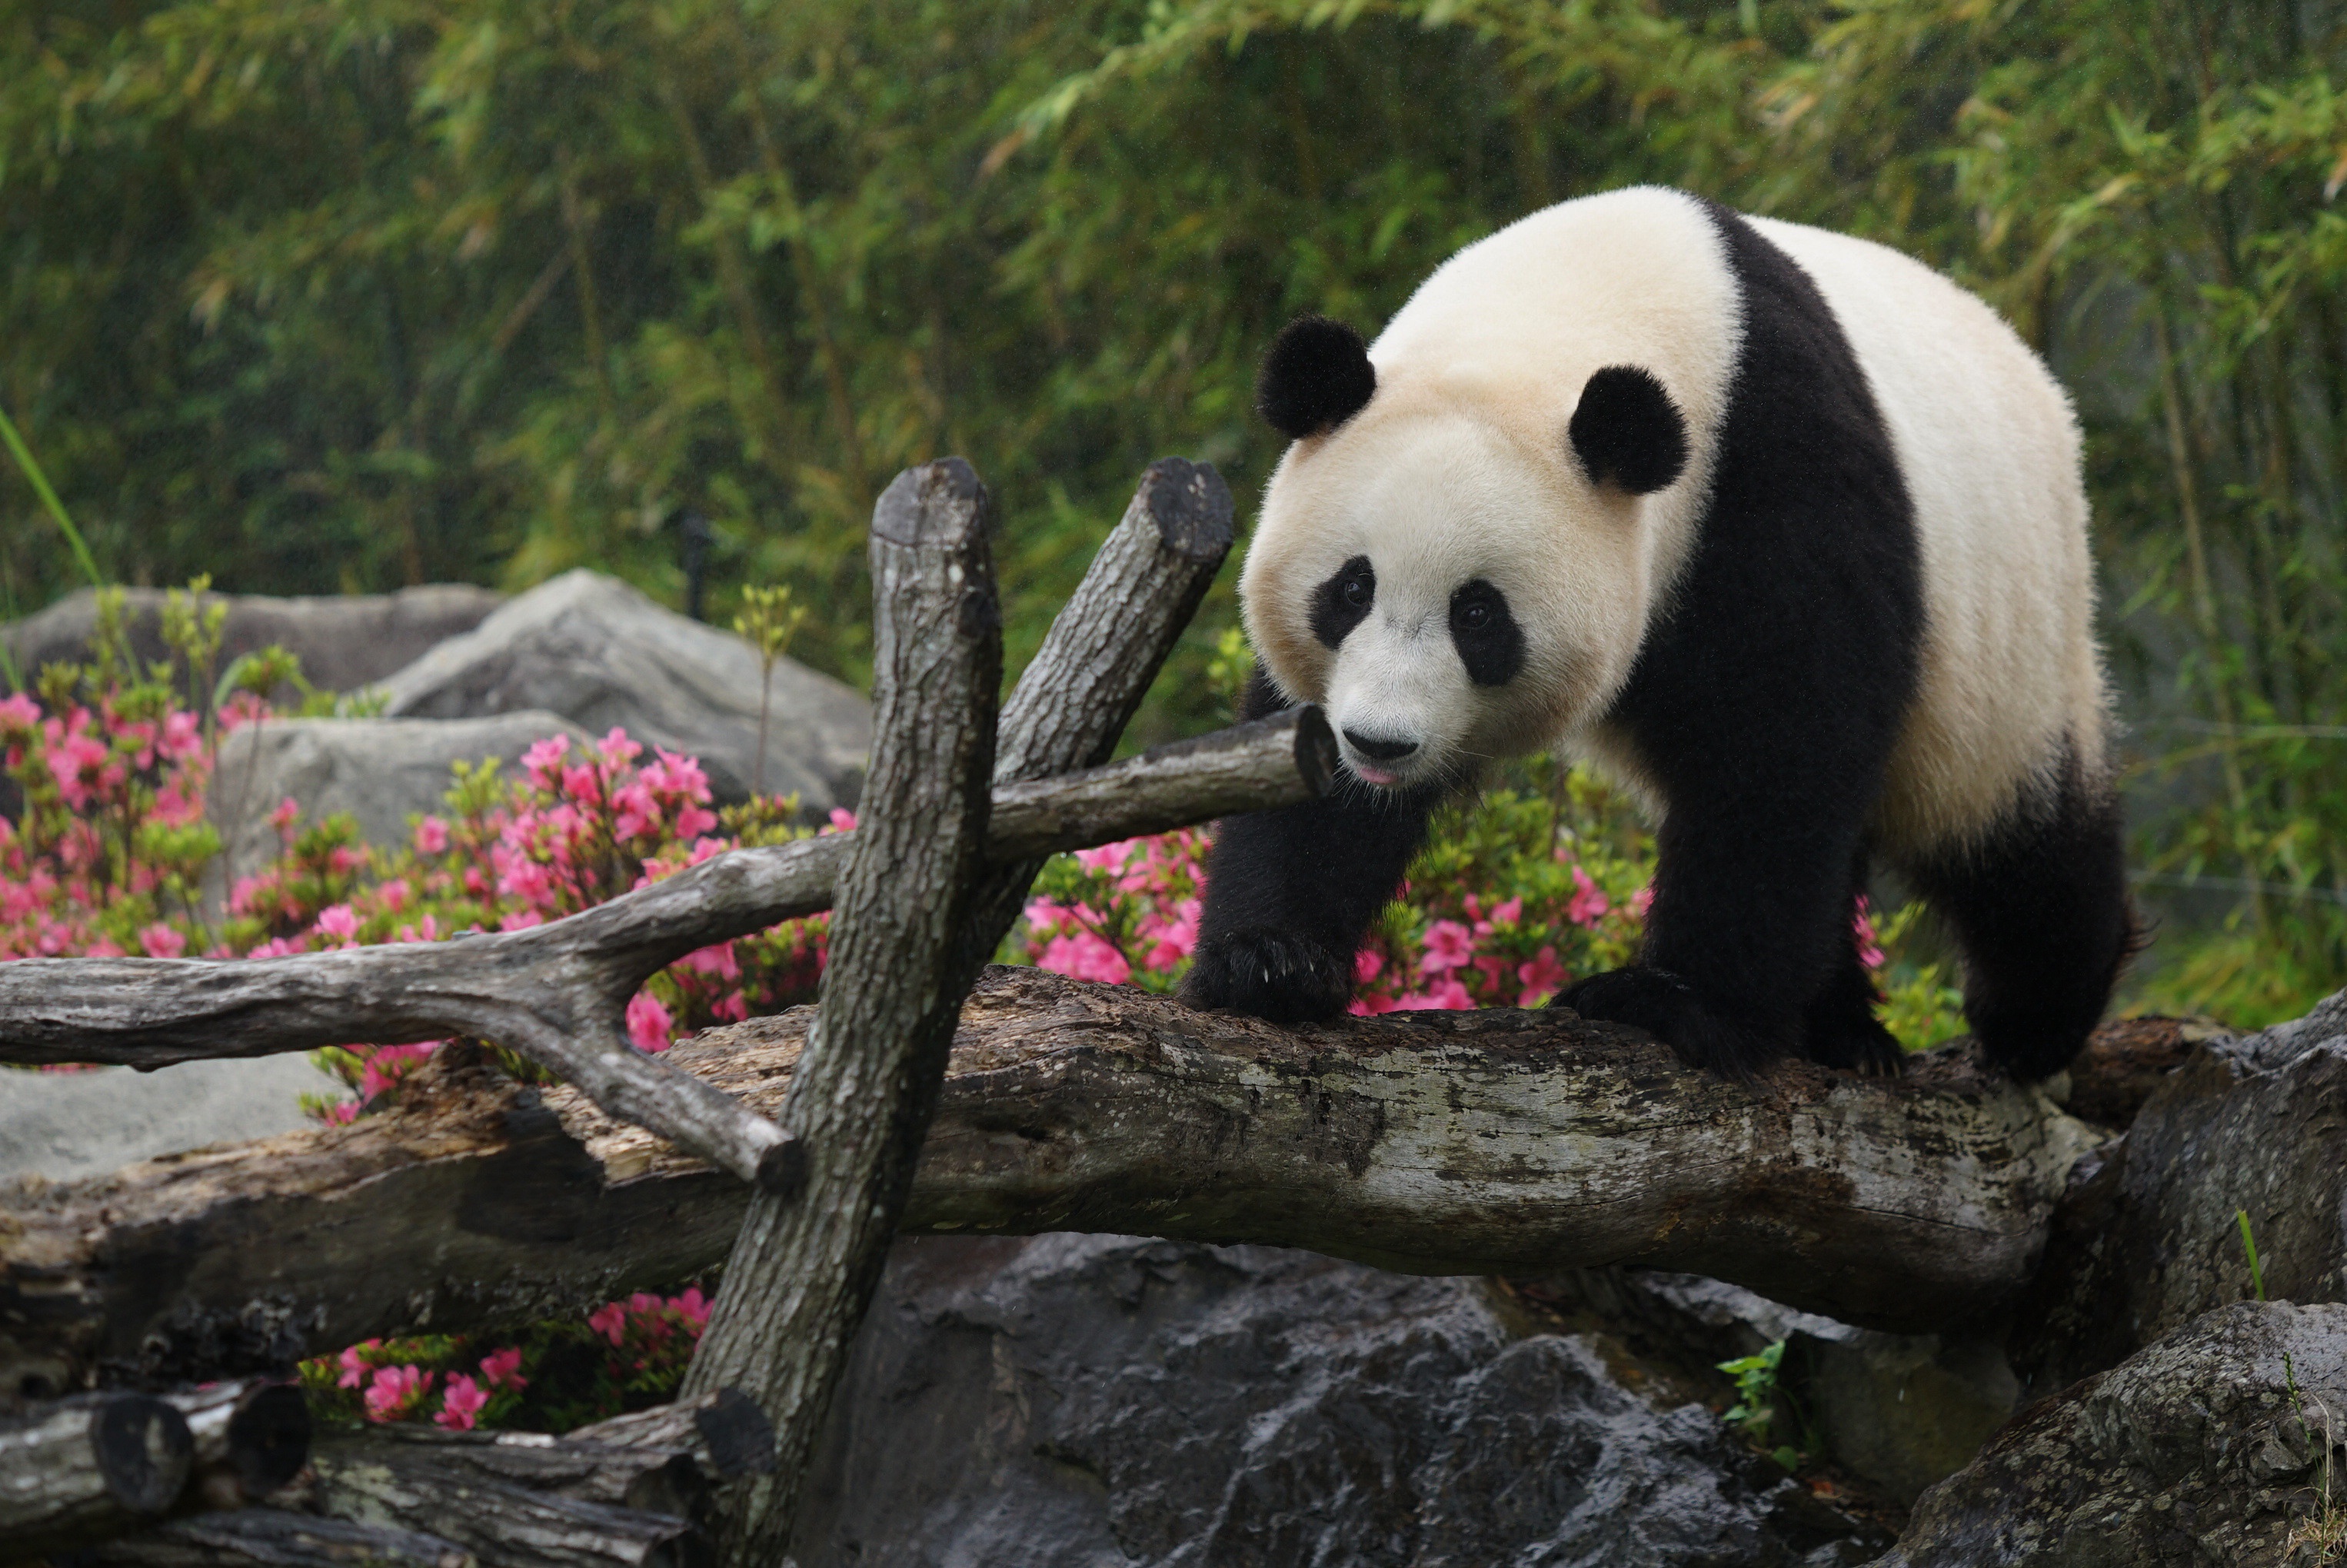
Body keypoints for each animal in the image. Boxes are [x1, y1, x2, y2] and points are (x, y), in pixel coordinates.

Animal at [1181, 185, 2134, 1083]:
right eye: (1350, 589)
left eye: (1478, 614)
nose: (1380, 741)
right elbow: (1301, 772)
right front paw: (1270, 961)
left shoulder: (1771, 469)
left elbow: (1781, 740)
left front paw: (1674, 1005)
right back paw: (1844, 1030)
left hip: (2006, 630)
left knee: (2009, 831)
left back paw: (2034, 1020)